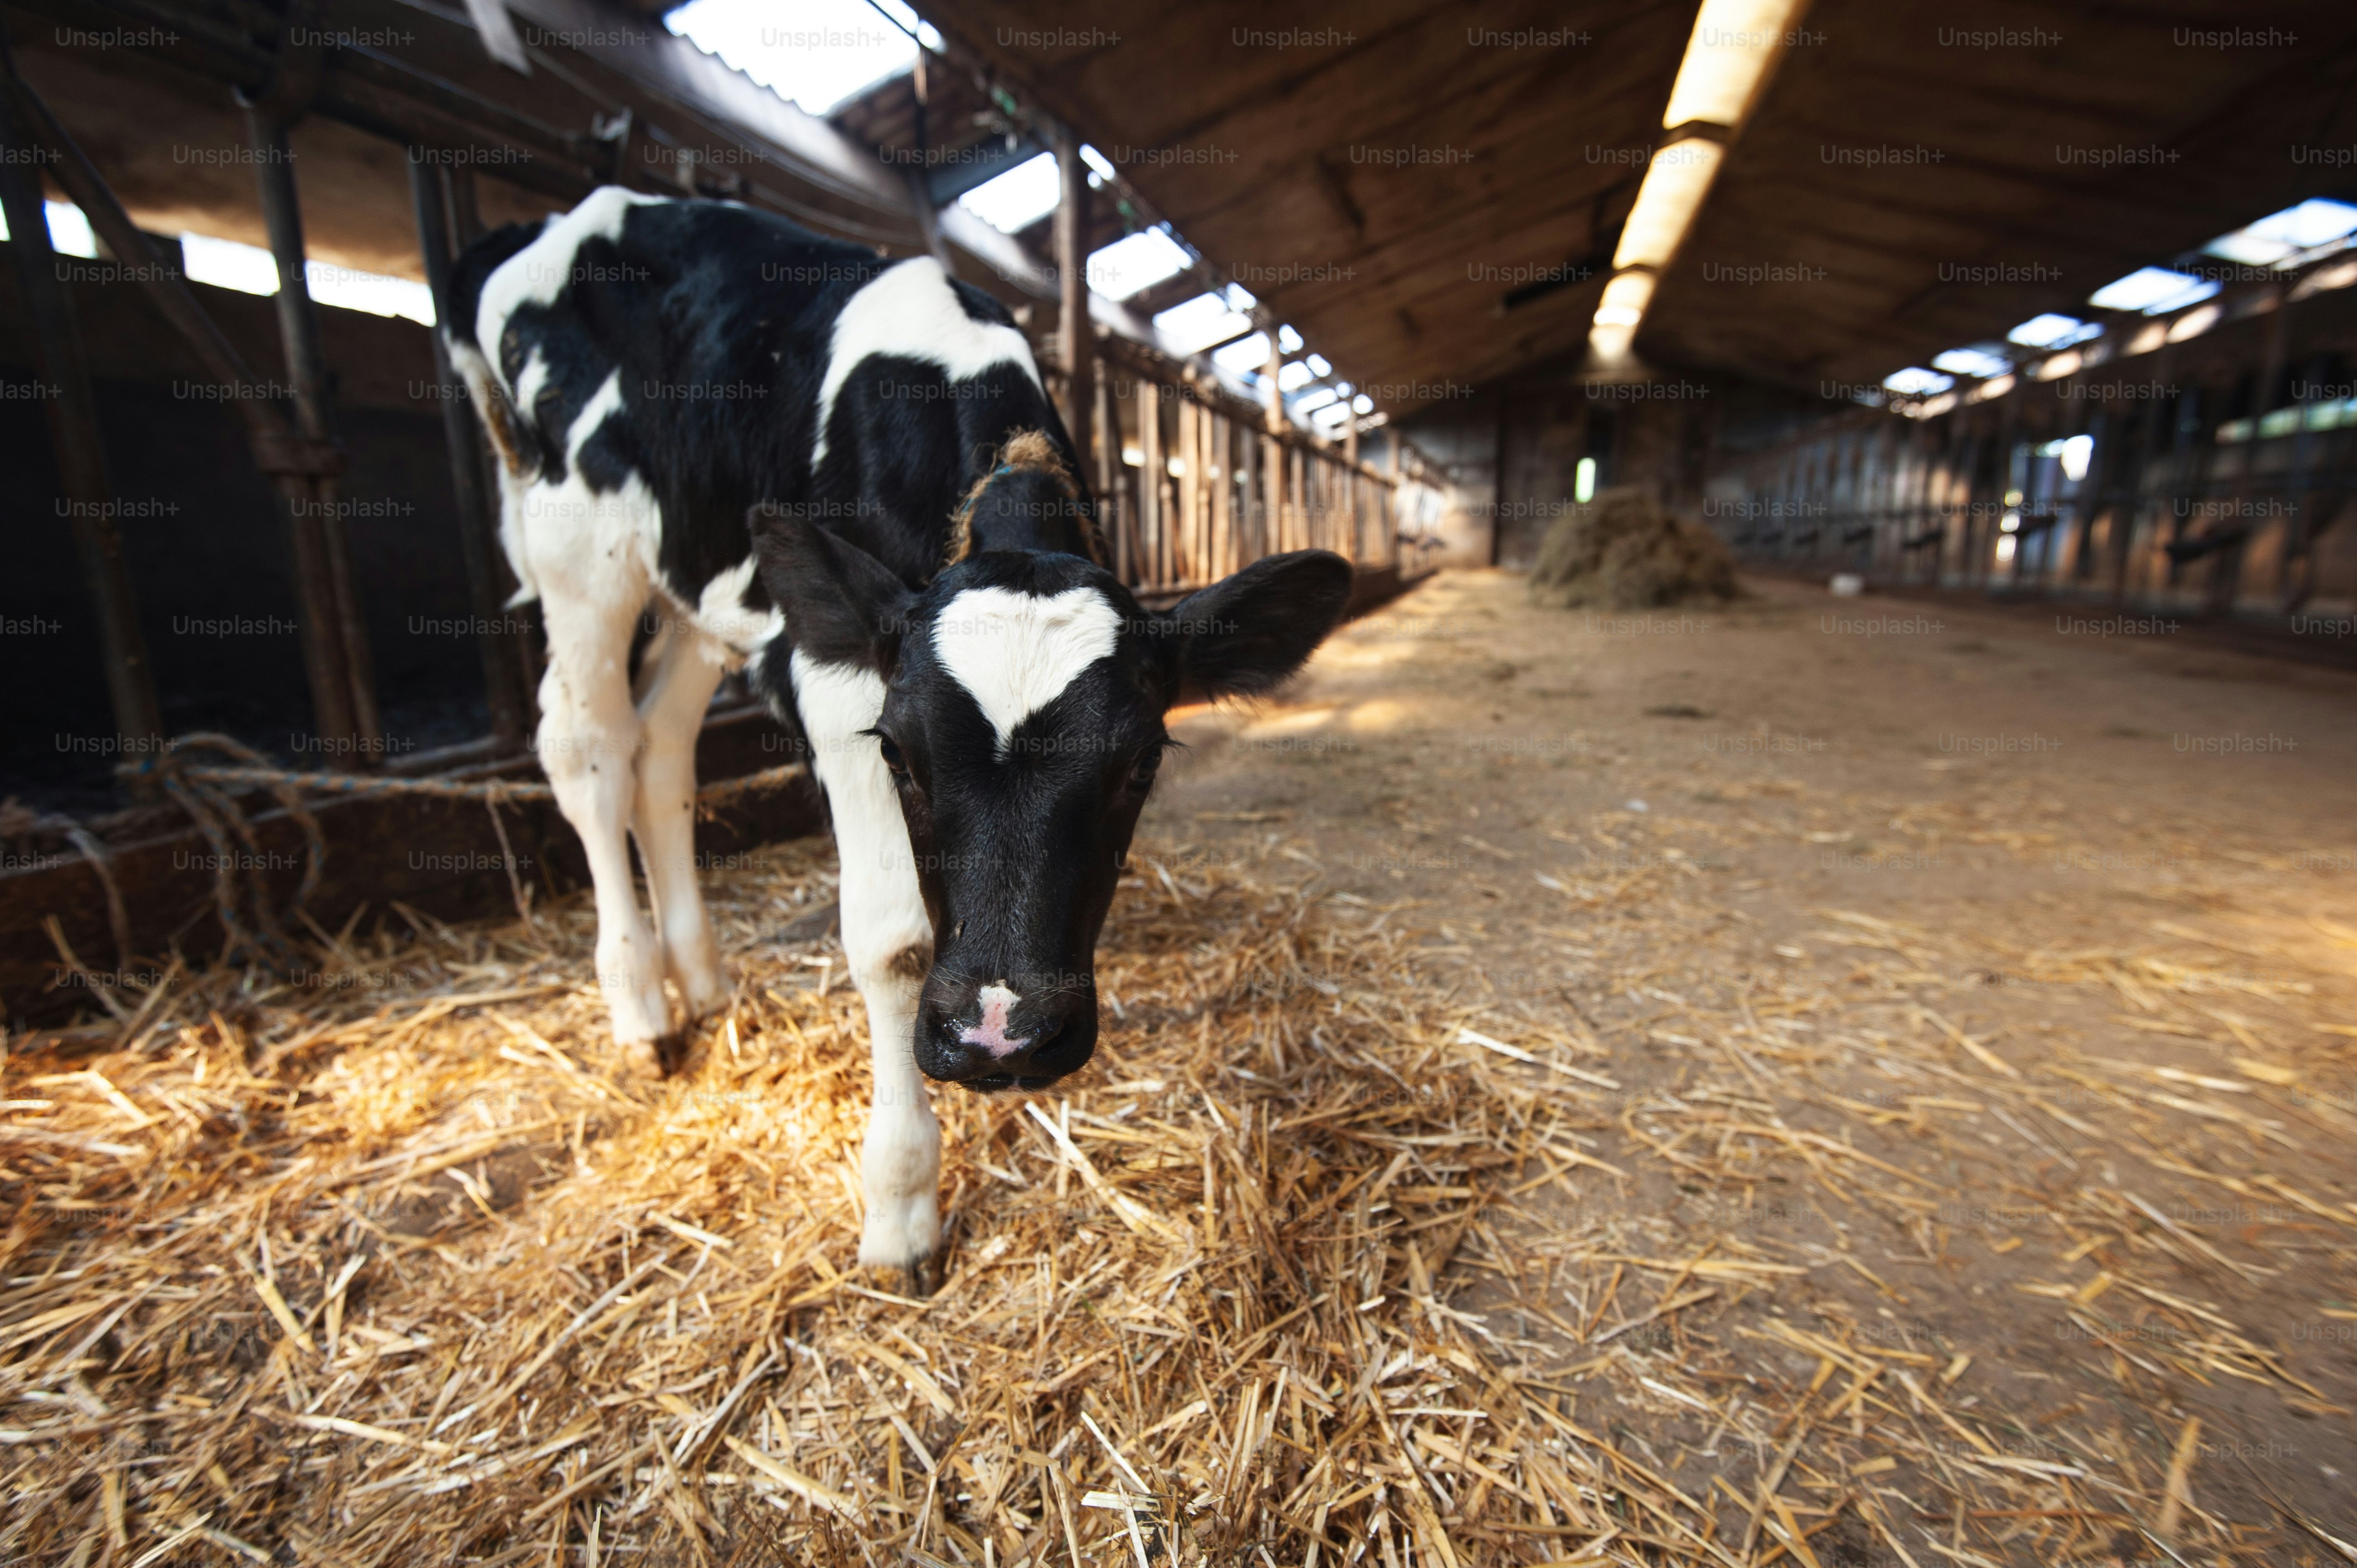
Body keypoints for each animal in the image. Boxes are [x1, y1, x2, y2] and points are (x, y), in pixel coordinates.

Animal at [443, 187, 1352, 1288]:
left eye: (1141, 763)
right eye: (897, 754)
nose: (1002, 1038)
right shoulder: (837, 686)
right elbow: (894, 943)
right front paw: (901, 1204)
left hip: (700, 579)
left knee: (661, 754)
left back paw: (701, 980)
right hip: (578, 547)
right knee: (591, 753)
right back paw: (642, 1009)